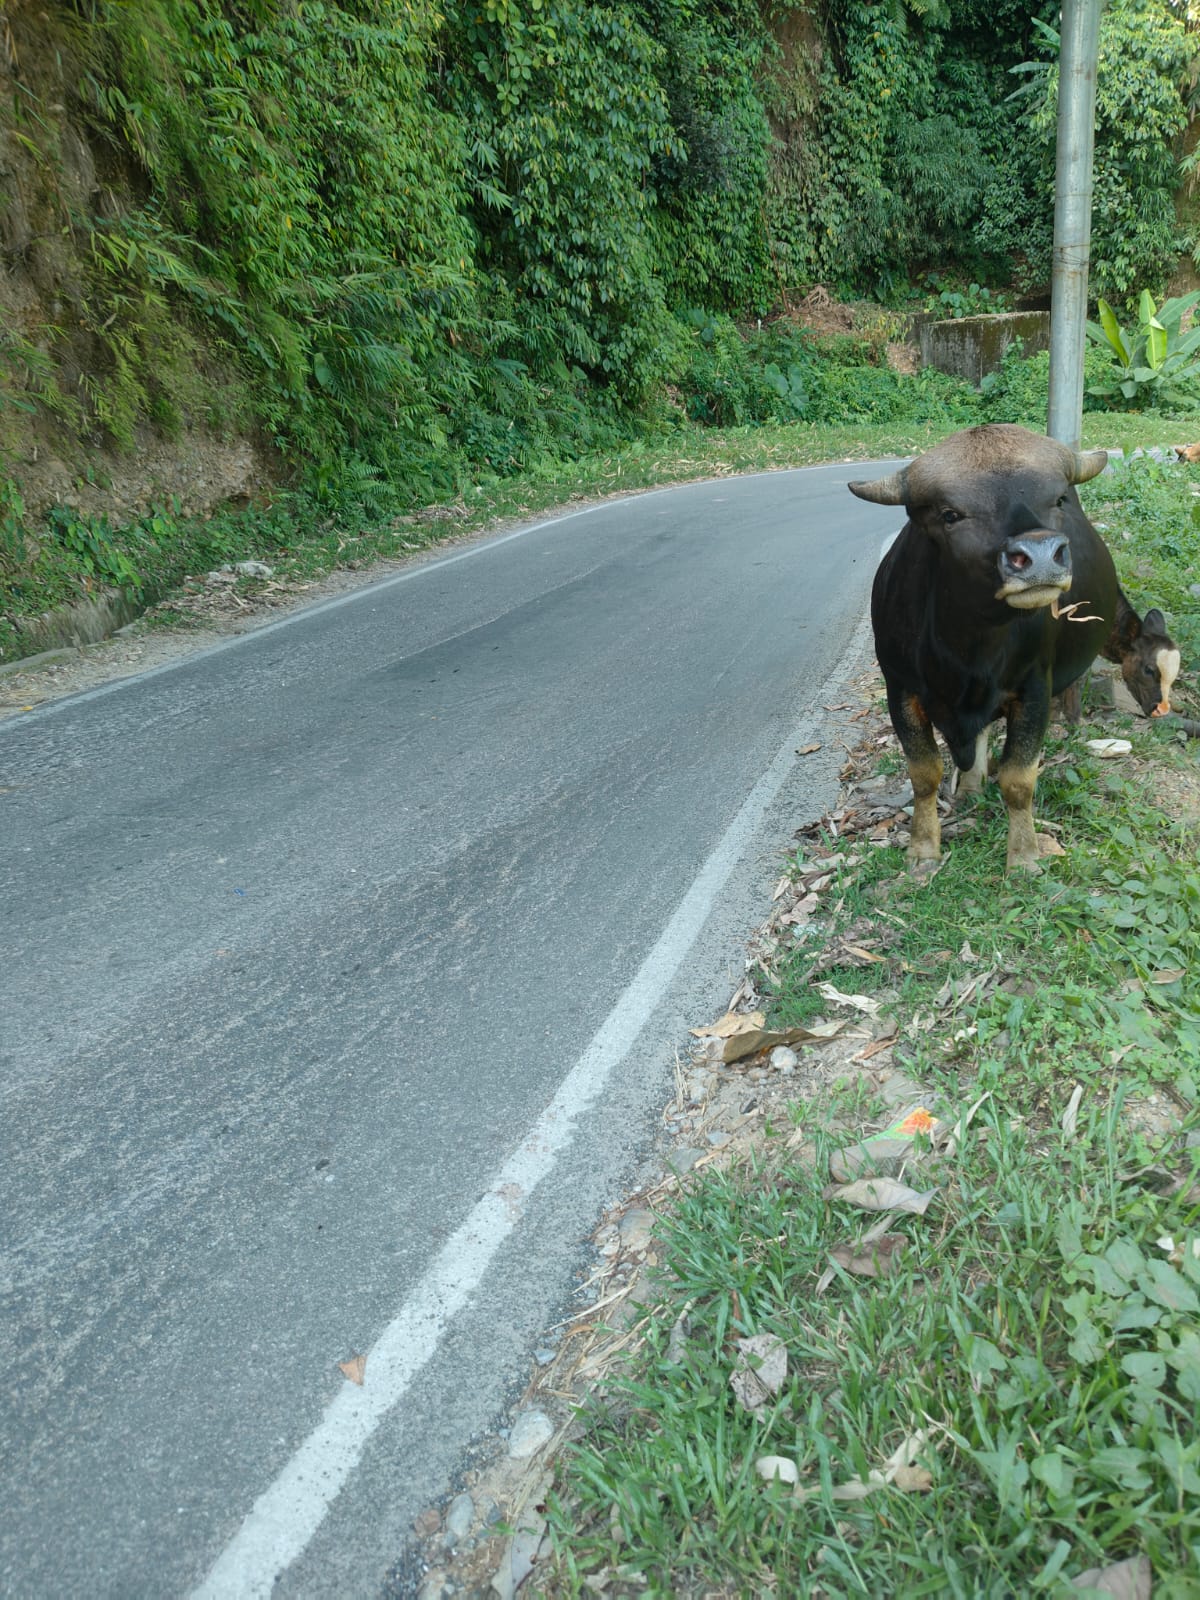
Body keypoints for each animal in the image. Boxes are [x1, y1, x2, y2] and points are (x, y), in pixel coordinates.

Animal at [849, 423, 1117, 873]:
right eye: (950, 514)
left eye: (1058, 499)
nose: (1041, 554)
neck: (967, 649)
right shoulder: (899, 688)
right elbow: (924, 774)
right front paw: (923, 849)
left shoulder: (1034, 689)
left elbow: (1018, 780)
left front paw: (1023, 857)